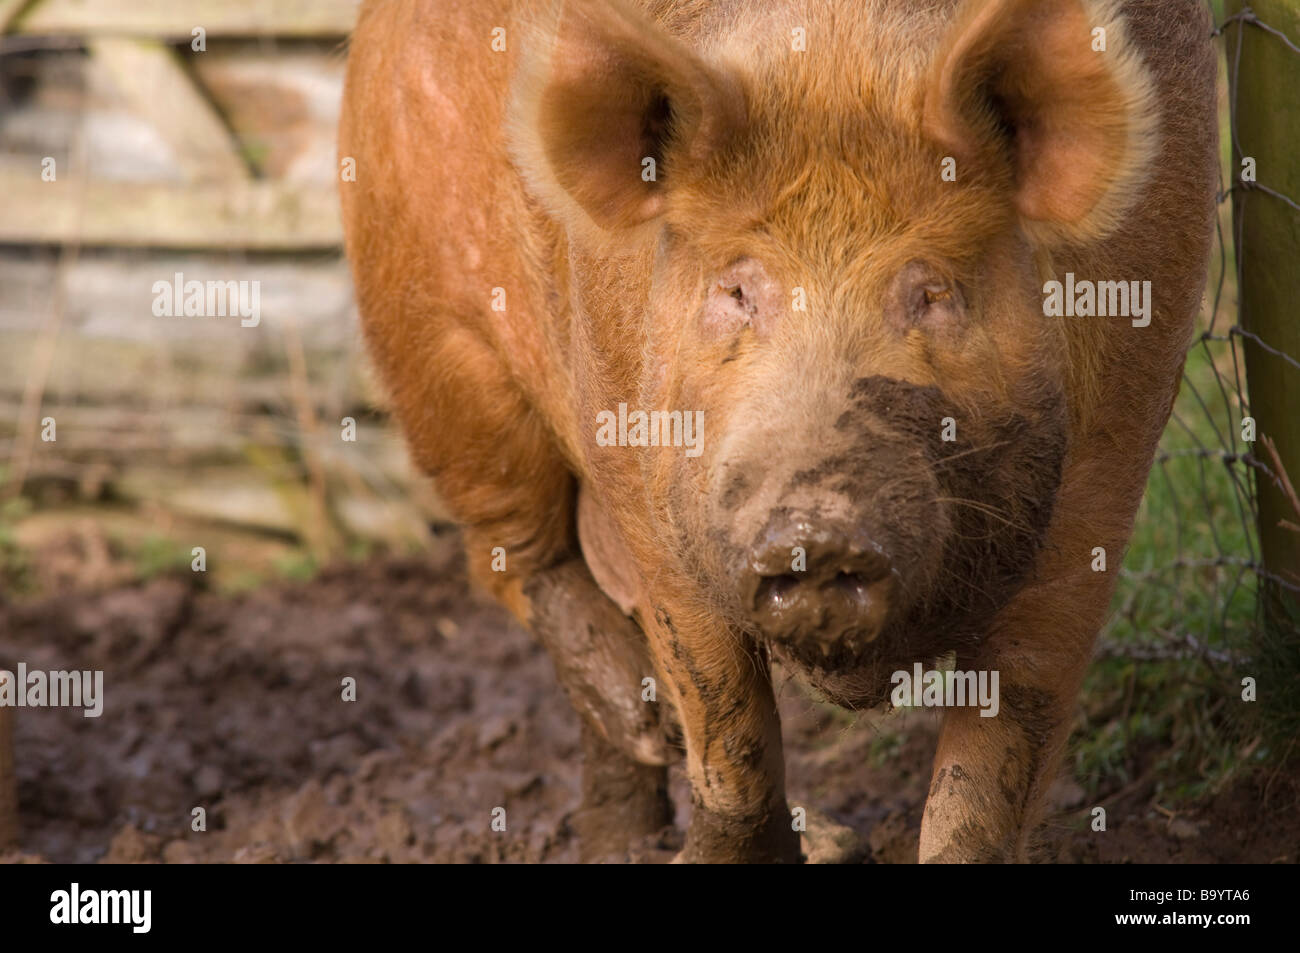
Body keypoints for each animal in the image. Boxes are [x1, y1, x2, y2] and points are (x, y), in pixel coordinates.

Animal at [338, 0, 1218, 862]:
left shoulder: (1109, 460)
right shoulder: (645, 475)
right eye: (735, 290)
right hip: (430, 336)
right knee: (512, 554)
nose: (818, 527)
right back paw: (648, 727)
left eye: (935, 292)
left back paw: (631, 831)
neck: (836, 55)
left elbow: (996, 760)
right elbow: (725, 712)